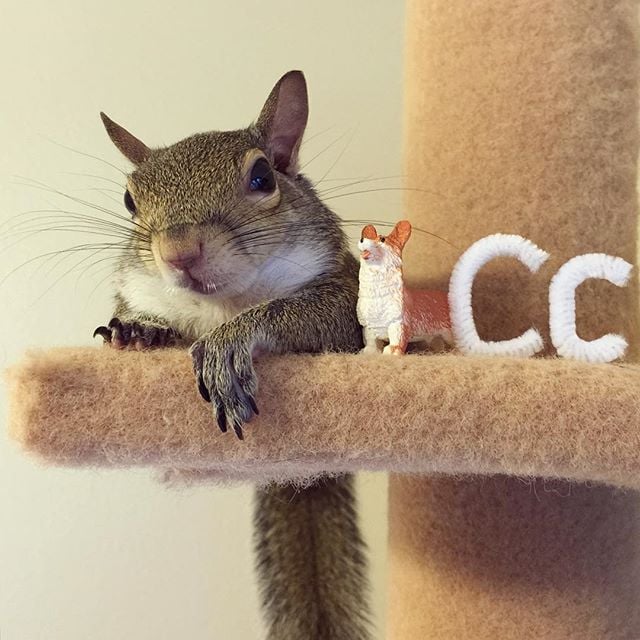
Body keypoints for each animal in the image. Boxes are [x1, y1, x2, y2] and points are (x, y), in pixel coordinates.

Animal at [93, 71, 371, 640]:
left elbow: (293, 313)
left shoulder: (344, 296)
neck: (222, 303)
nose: (178, 252)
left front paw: (230, 342)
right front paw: (137, 329)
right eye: (129, 200)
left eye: (263, 176)